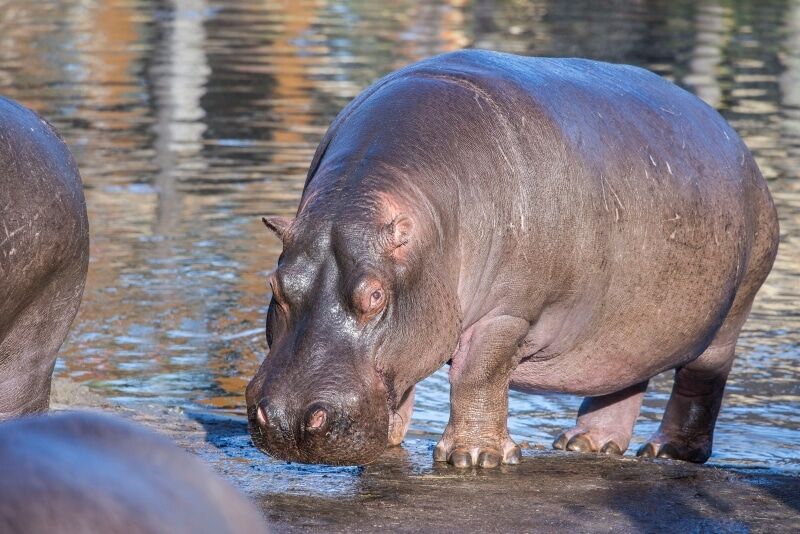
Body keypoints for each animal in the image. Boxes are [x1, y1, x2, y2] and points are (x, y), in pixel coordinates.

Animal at [245, 50, 779, 468]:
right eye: (275, 287)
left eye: (375, 296)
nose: (289, 421)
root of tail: (738, 142)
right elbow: (408, 373)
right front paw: (395, 443)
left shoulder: (509, 313)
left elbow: (478, 375)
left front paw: (474, 458)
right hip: (630, 319)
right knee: (624, 373)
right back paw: (585, 445)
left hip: (731, 315)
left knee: (701, 381)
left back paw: (670, 452)